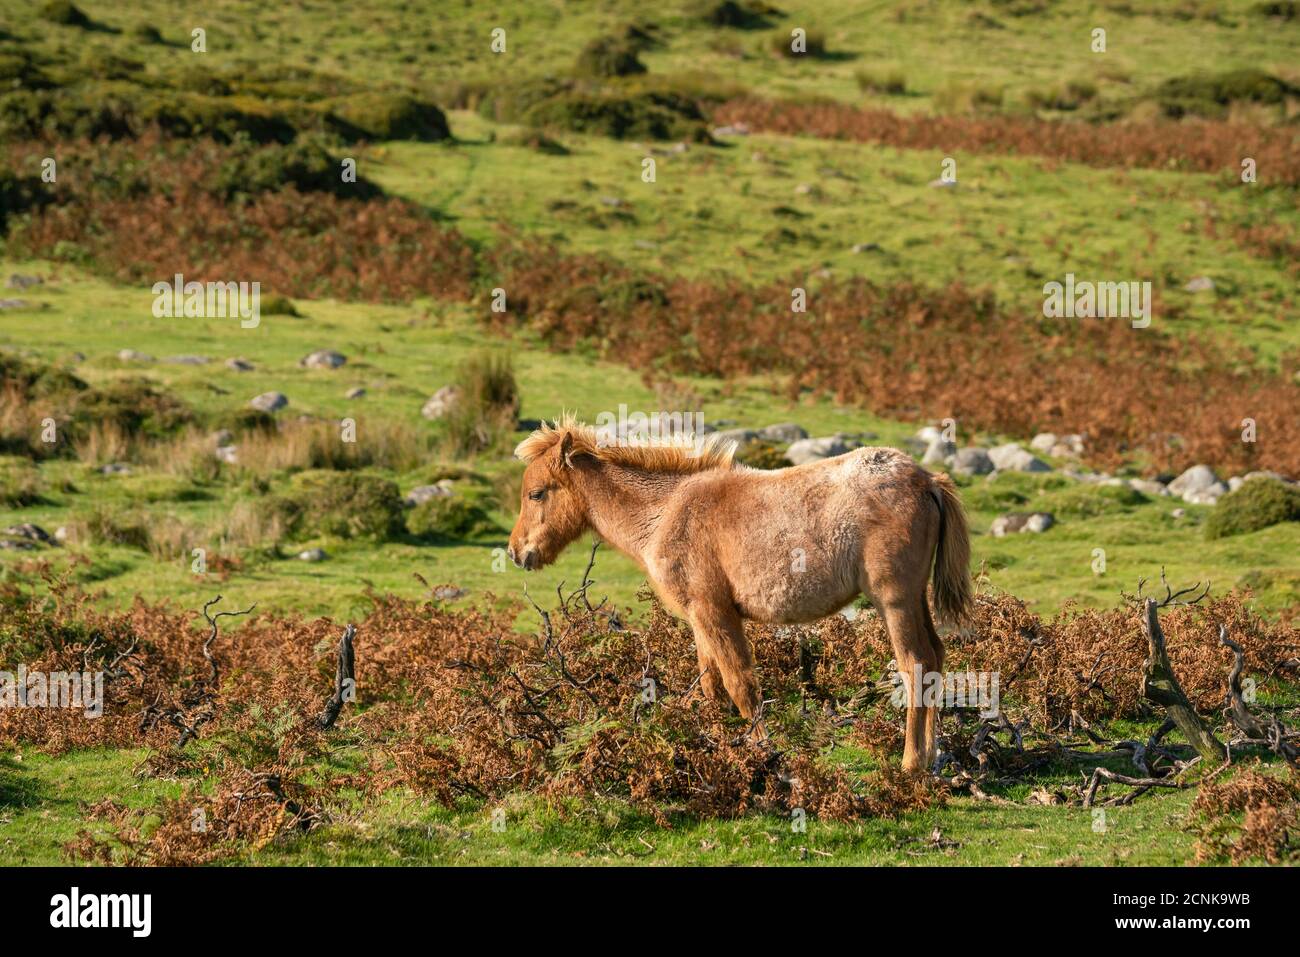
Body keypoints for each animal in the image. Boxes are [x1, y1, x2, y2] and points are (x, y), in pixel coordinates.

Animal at [507, 416, 972, 772]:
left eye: (536, 493)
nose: (516, 552)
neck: (666, 512)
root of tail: (928, 480)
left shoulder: (715, 612)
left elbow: (740, 684)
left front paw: (765, 753)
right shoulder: (700, 618)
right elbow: (712, 686)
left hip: (894, 601)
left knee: (914, 664)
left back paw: (911, 763)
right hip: (915, 599)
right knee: (935, 657)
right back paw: (932, 756)